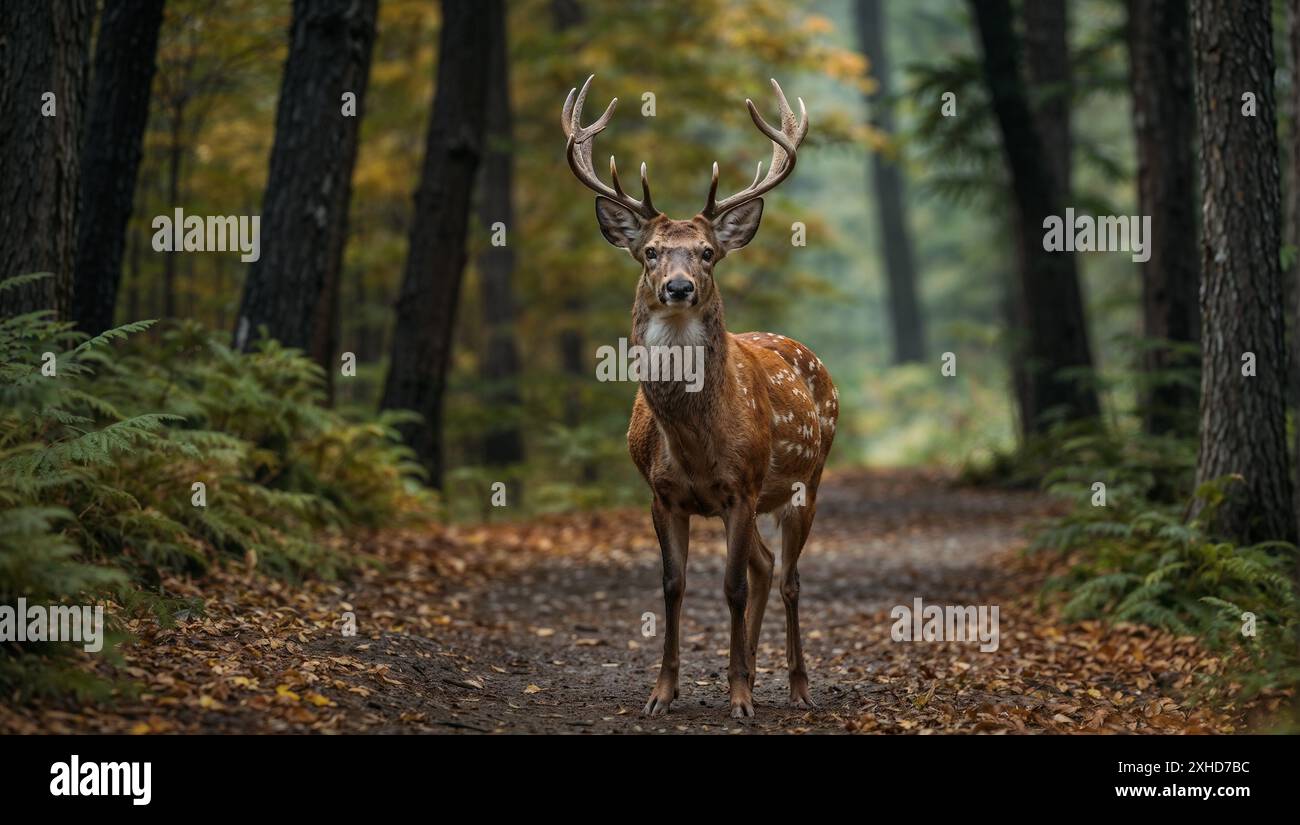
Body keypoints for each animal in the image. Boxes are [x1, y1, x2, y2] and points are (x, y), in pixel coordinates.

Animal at [561, 76, 838, 718]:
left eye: (708, 252)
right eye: (650, 251)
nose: (679, 286)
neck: (694, 442)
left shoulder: (741, 485)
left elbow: (729, 587)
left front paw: (737, 696)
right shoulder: (662, 494)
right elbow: (673, 586)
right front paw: (663, 693)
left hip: (805, 480)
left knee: (786, 577)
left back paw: (795, 686)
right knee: (765, 566)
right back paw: (755, 672)